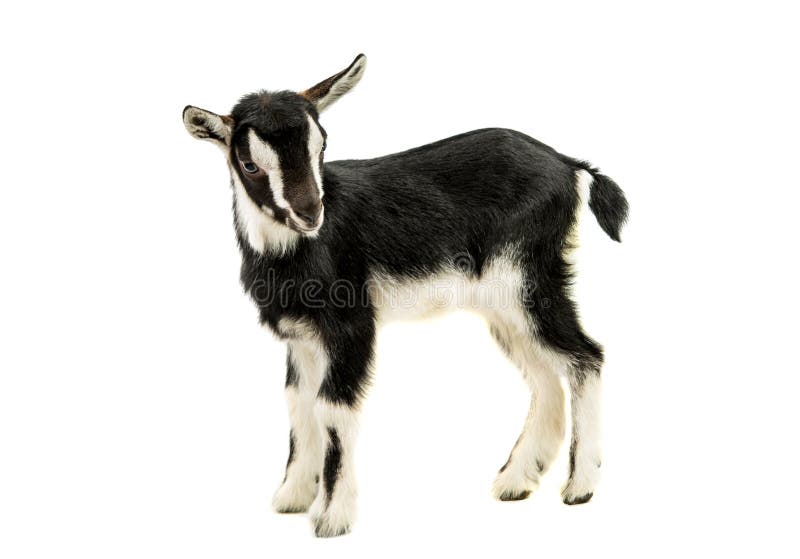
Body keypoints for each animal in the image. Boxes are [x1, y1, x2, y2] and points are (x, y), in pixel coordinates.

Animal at [182, 54, 628, 537]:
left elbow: (331, 408)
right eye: (249, 164)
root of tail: (569, 166)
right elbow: (298, 405)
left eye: (321, 145)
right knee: (544, 375)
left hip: (530, 282)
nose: (310, 213)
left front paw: (332, 517)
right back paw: (516, 480)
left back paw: (579, 487)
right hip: (504, 305)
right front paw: (293, 495)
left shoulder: (351, 326)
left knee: (586, 356)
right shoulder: (302, 338)